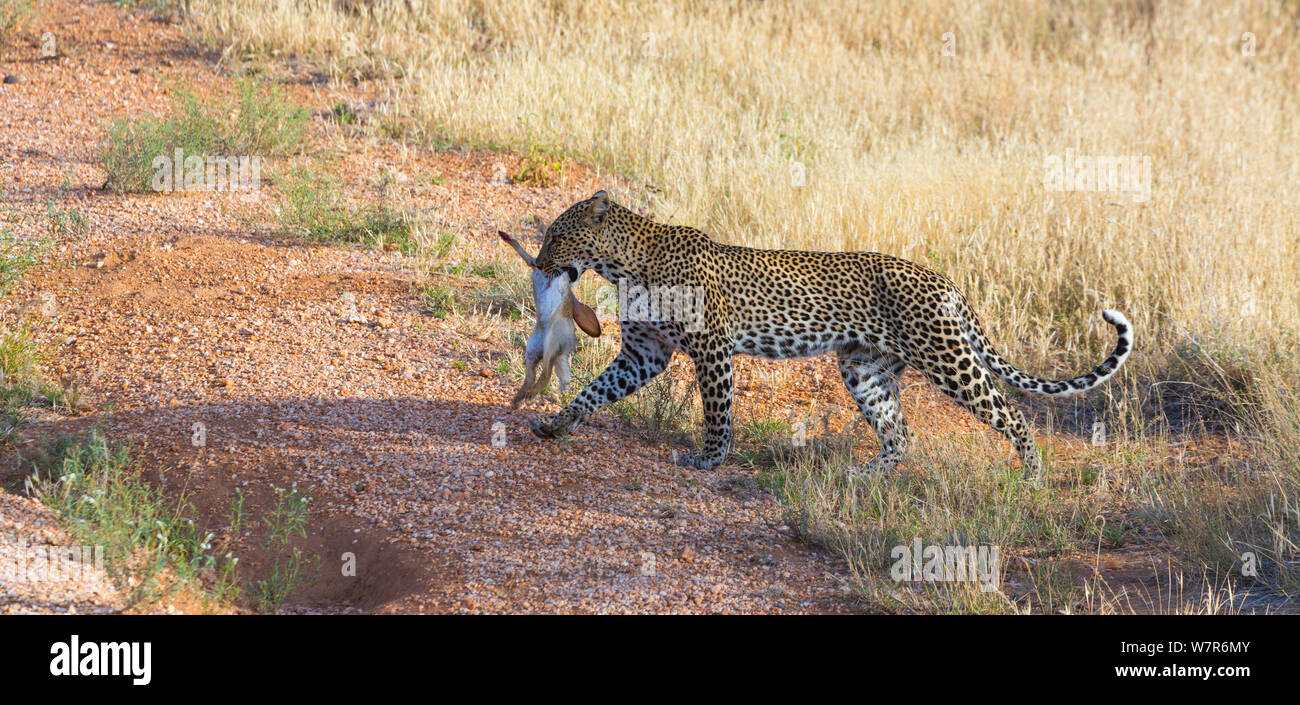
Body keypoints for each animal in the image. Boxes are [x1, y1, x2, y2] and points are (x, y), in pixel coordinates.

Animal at [500, 231, 601, 409]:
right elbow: (525, 255)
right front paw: (504, 236)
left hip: (551, 343)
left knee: (546, 373)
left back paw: (527, 397)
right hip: (532, 350)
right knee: (532, 376)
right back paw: (518, 400)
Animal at [529, 190, 1133, 478]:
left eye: (558, 235)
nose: (538, 263)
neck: (625, 265)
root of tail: (945, 280)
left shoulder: (712, 349)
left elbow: (718, 412)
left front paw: (709, 460)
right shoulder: (644, 352)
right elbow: (594, 391)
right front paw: (558, 424)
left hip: (949, 360)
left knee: (1010, 412)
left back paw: (1031, 475)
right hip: (864, 369)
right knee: (900, 431)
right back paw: (866, 477)